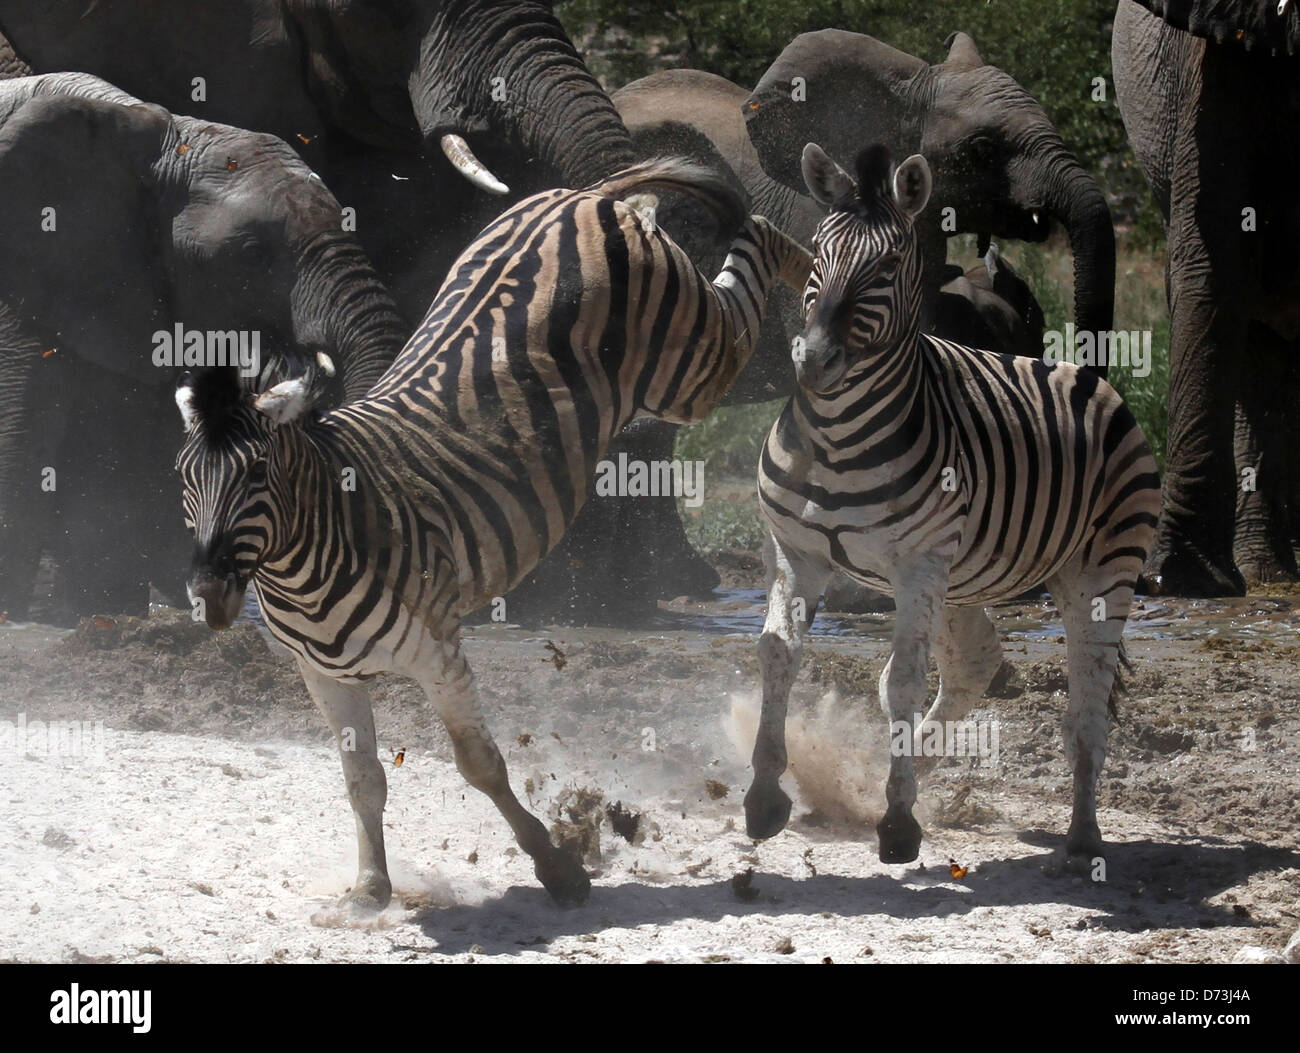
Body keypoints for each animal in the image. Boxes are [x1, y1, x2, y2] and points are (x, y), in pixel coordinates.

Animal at [174, 158, 812, 913]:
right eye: (183, 478)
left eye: (257, 475)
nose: (209, 595)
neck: (311, 553)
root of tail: (580, 195)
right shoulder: (324, 677)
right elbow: (362, 780)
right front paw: (370, 887)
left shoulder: (438, 653)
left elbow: (480, 765)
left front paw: (558, 869)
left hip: (691, 368)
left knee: (757, 247)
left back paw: (823, 280)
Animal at [745, 142, 1160, 866]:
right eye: (818, 252)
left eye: (886, 267)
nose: (815, 361)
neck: (836, 438)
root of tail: (1082, 373)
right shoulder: (798, 550)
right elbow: (778, 652)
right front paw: (767, 796)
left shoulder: (916, 560)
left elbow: (902, 683)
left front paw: (898, 824)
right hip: (959, 577)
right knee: (975, 665)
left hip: (1095, 571)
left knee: (1085, 703)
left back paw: (1083, 836)